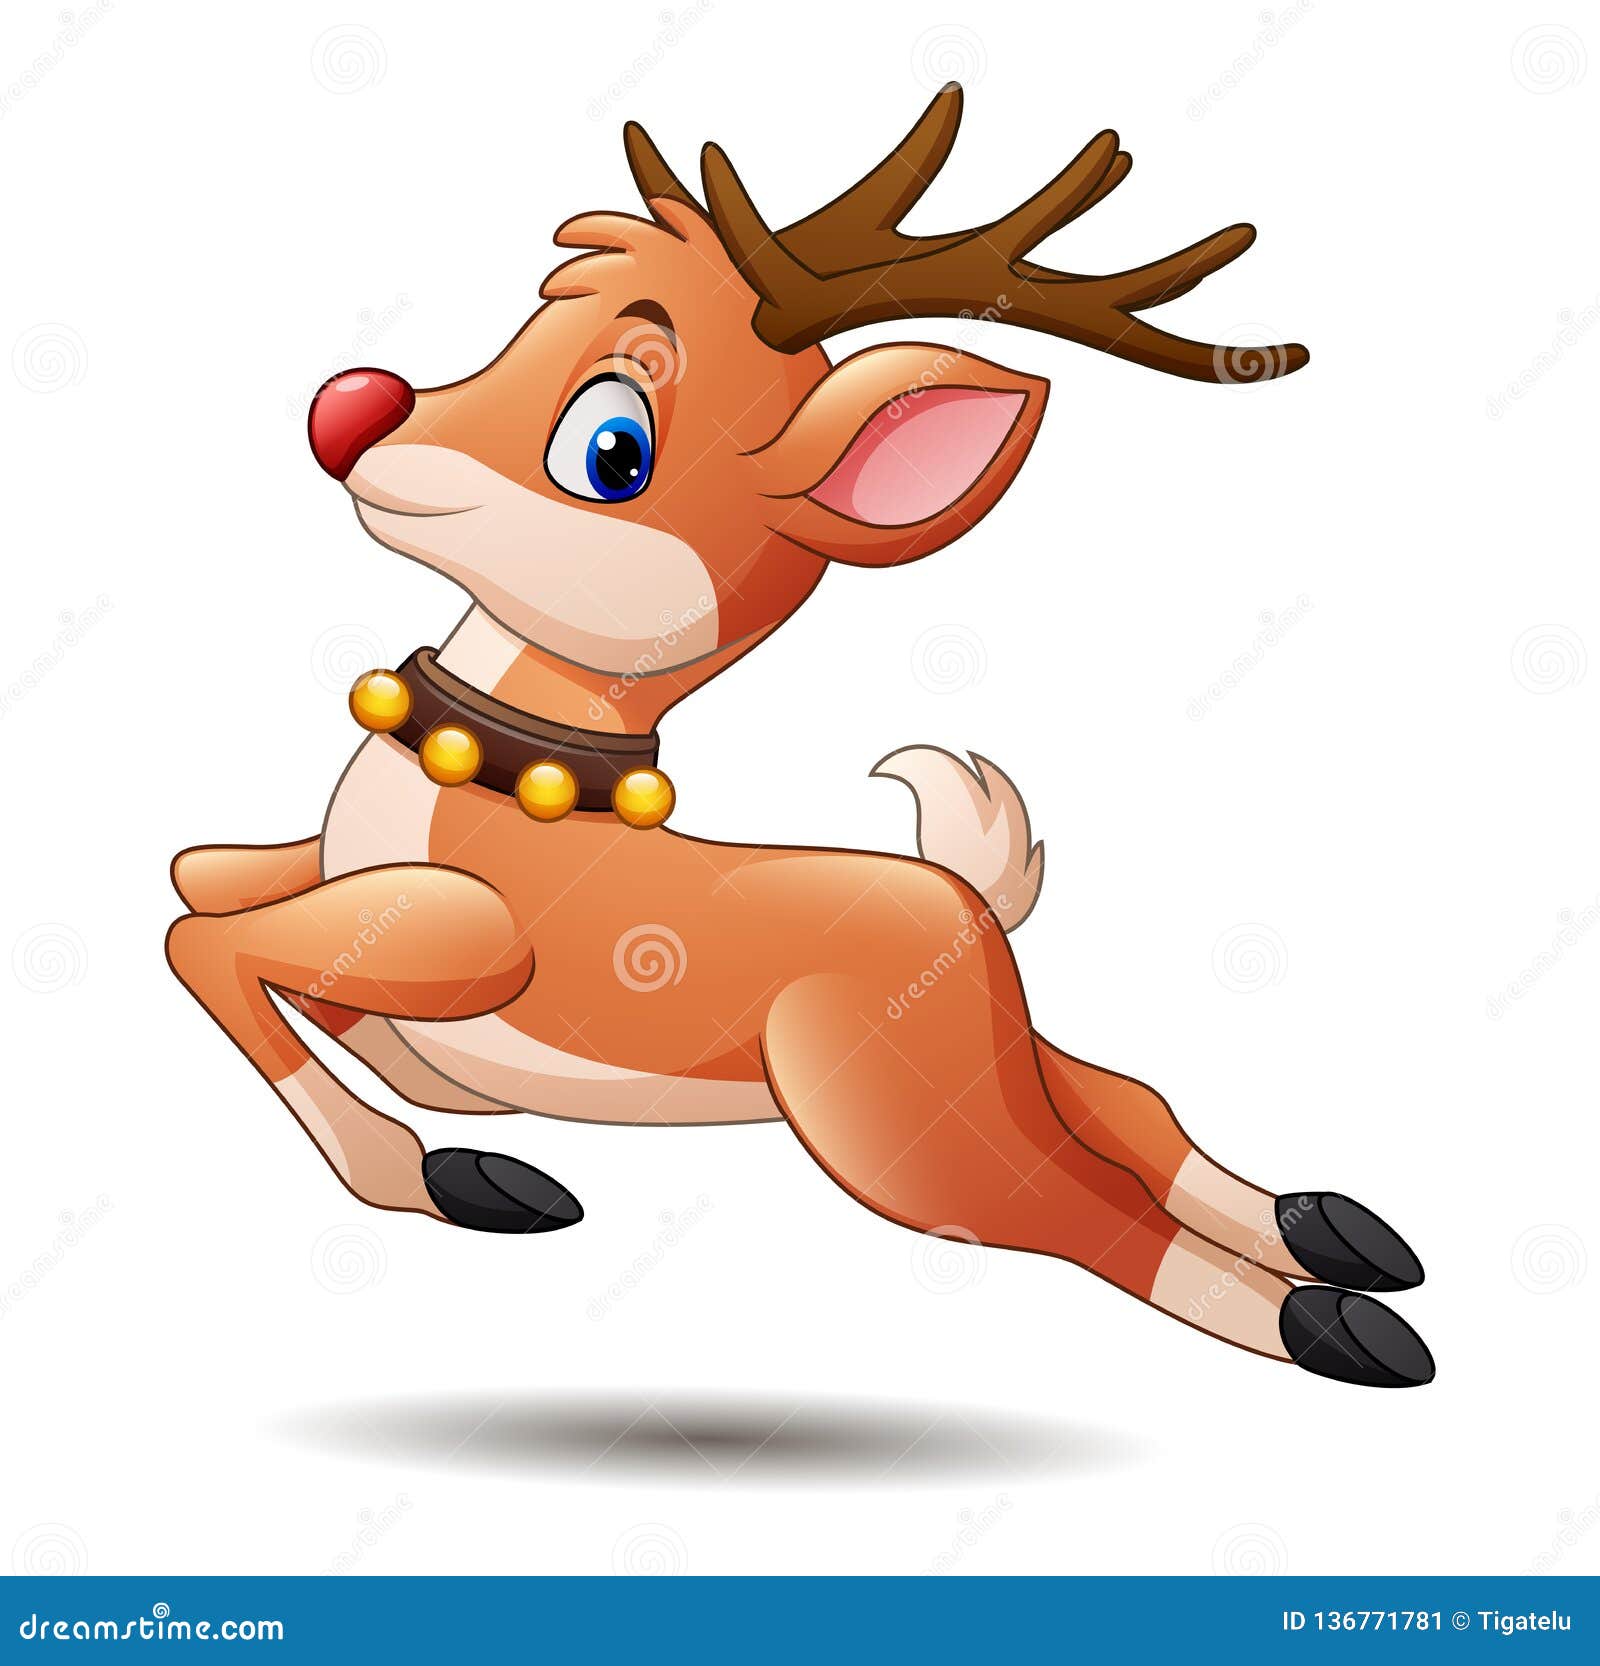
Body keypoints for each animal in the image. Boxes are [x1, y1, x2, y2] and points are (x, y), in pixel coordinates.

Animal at [166, 84, 1434, 1389]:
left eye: (612, 447)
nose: (350, 409)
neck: (494, 782)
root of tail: (964, 904)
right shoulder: (329, 893)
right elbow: (203, 882)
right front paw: (464, 1134)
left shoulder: (466, 935)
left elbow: (204, 942)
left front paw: (460, 1177)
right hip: (1001, 1057)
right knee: (1124, 1101)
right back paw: (1336, 1228)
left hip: (895, 1129)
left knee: (1080, 1212)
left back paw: (1341, 1325)